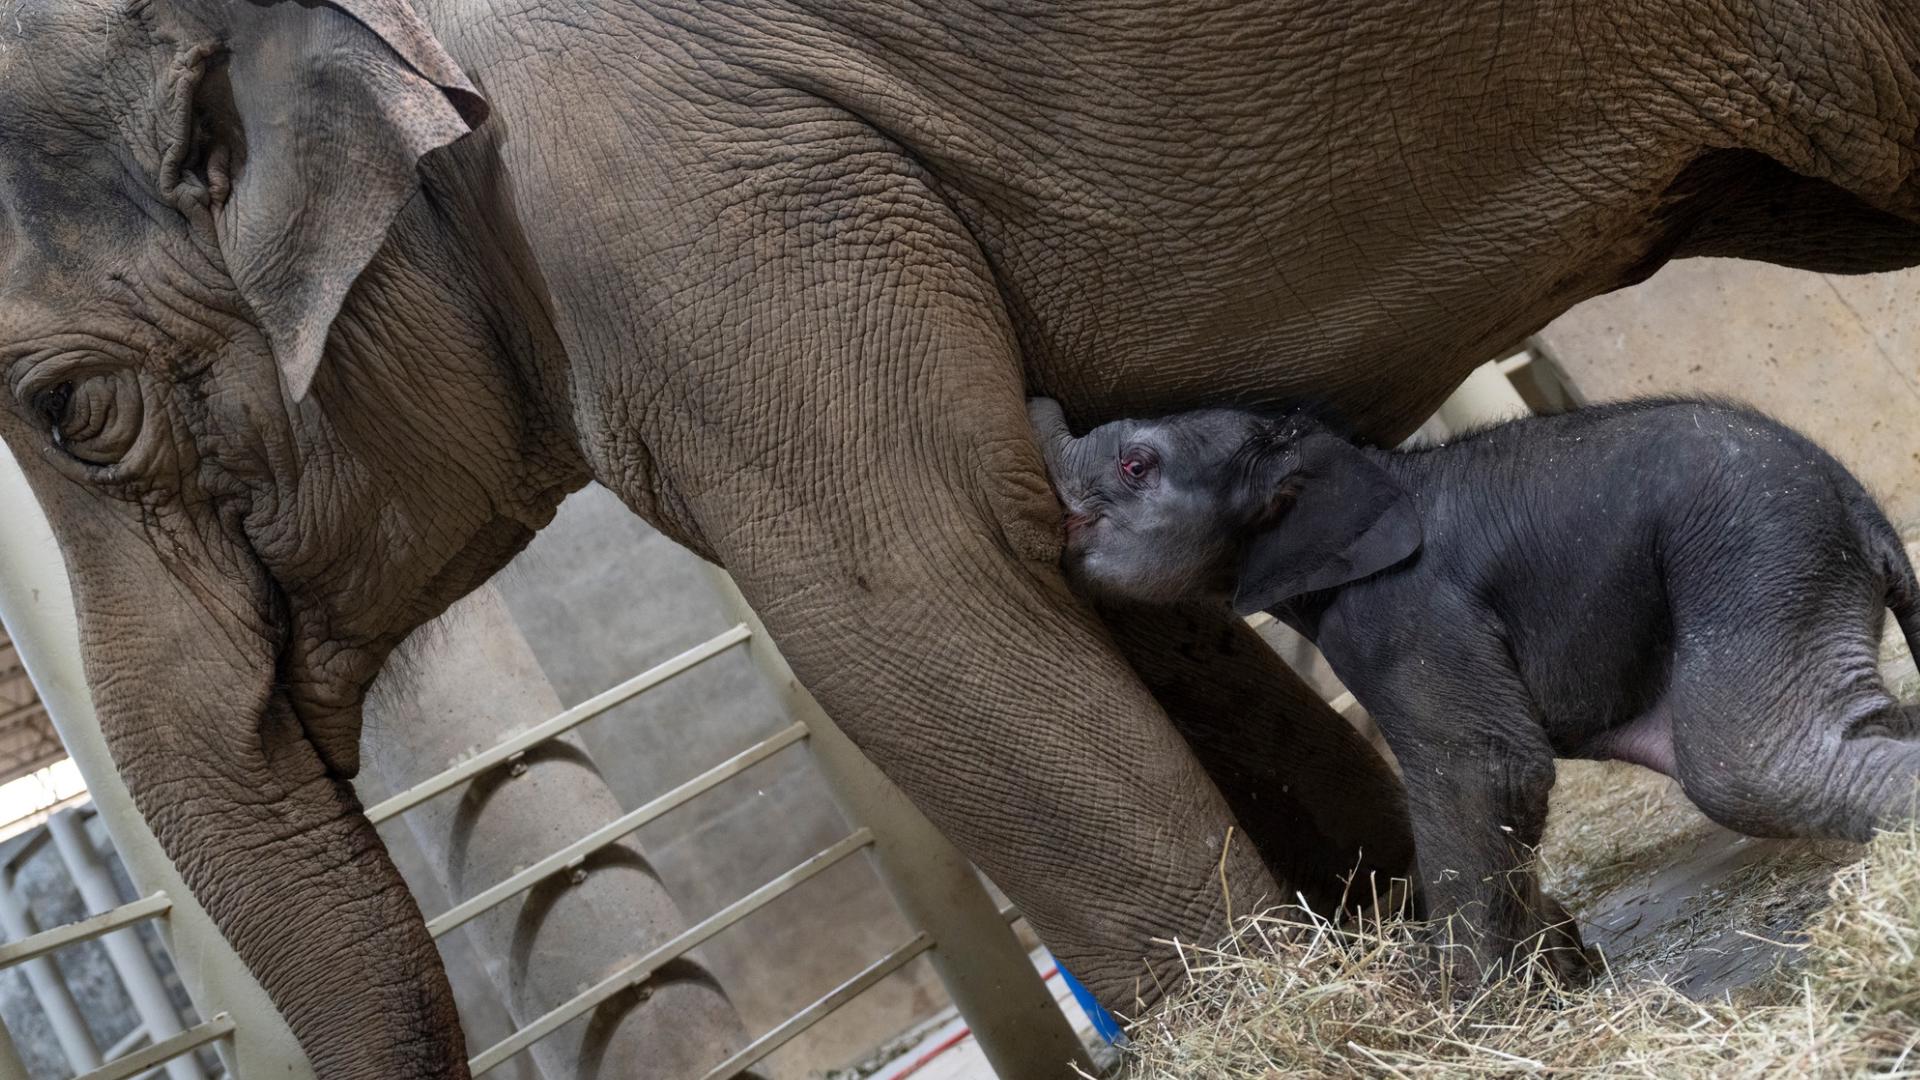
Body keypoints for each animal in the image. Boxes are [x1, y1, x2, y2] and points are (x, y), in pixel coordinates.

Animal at [1027, 395, 1920, 988]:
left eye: (1136, 464)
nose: (1038, 398)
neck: (1359, 463)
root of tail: (1863, 507)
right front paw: (1554, 969)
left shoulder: (1404, 612)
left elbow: (1484, 769)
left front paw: (1448, 1006)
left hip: (1762, 561)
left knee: (1750, 768)